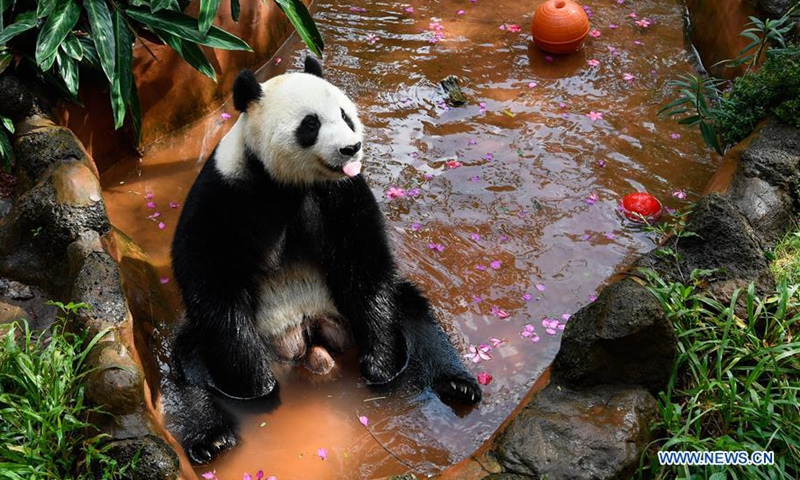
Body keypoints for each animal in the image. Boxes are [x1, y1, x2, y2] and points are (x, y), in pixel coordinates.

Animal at [164, 56, 481, 464]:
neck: (287, 184)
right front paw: (258, 388)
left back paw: (455, 385)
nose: (351, 148)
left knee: (415, 317)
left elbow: (365, 262)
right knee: (189, 366)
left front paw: (381, 369)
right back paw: (212, 437)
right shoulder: (226, 191)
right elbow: (208, 276)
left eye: (345, 115)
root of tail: (308, 339)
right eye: (310, 124)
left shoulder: (342, 191)